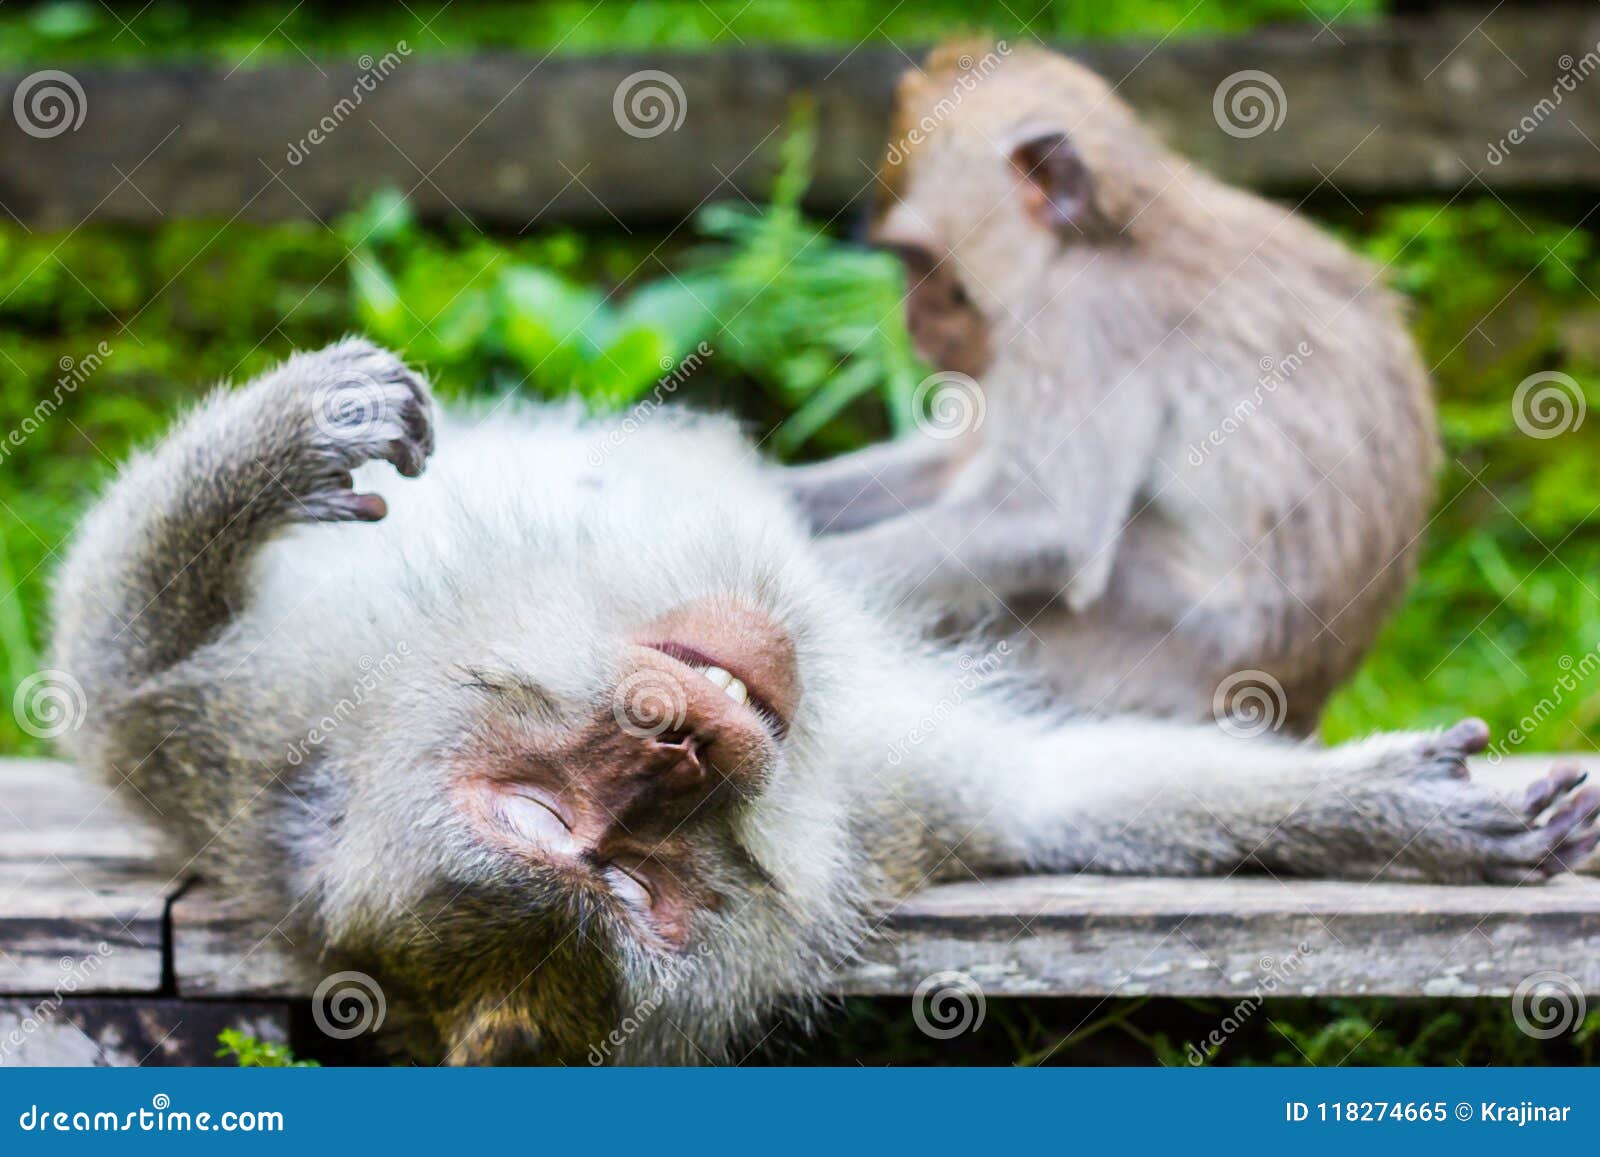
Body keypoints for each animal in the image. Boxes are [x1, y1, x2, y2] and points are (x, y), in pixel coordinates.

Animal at [51, 340, 1595, 1065]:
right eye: (617, 863)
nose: (697, 736)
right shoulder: (226, 748)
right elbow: (100, 654)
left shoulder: (252, 722)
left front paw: (1396, 815)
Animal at [784, 43, 1438, 735]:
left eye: (919, 261)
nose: (914, 321)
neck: (1103, 232)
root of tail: (1304, 702)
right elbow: (960, 464)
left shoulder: (1077, 317)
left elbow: (1051, 525)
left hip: (1153, 654)